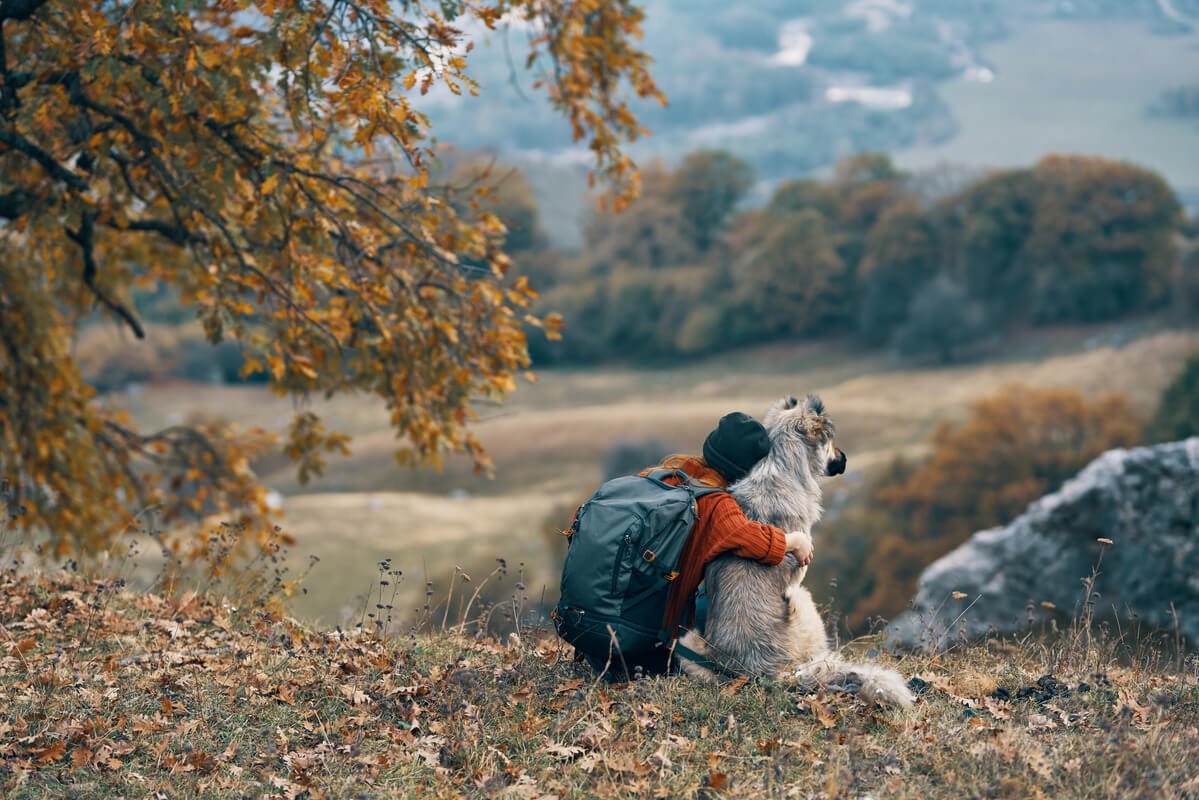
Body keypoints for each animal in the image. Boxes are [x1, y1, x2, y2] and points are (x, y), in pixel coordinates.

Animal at [681, 393, 911, 705]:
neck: (781, 467)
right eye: (830, 441)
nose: (845, 459)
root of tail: (754, 669)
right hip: (802, 599)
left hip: (691, 643)